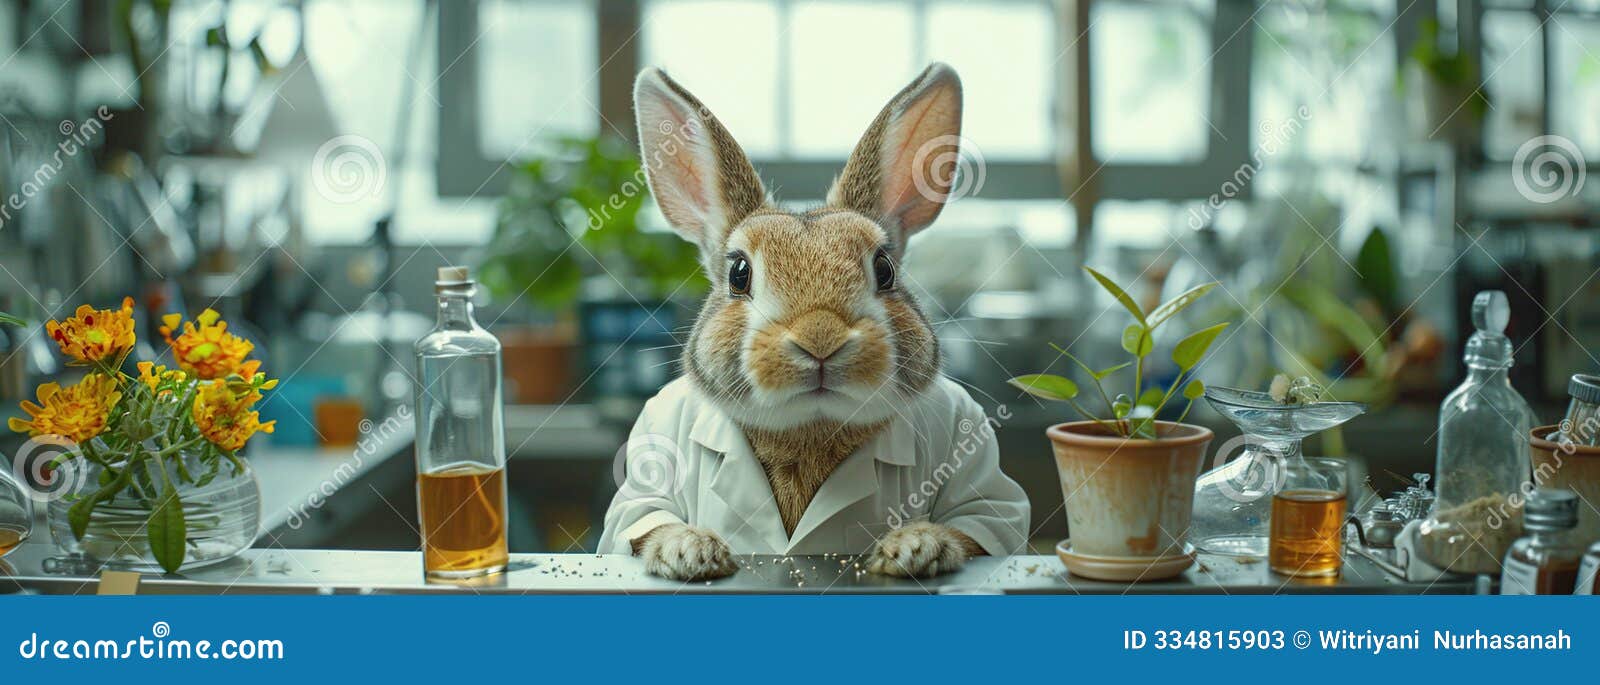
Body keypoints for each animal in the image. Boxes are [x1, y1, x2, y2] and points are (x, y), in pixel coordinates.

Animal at [606, 62, 1030, 581]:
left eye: (885, 269)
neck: (809, 430)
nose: (820, 338)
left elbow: (980, 523)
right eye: (739, 273)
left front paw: (915, 546)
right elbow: (641, 518)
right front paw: (690, 550)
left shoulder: (975, 466)